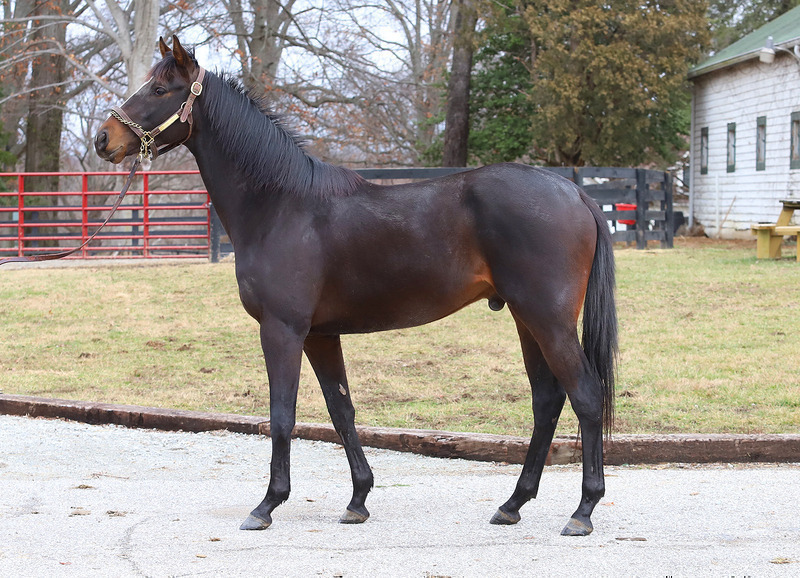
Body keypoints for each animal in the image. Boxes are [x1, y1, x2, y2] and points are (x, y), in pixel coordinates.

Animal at [94, 35, 618, 537]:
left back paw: (583, 511)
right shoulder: (321, 335)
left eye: (160, 89)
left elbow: (282, 414)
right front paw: (358, 499)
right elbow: (340, 409)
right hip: (527, 319)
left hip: (547, 319)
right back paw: (512, 505)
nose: (103, 138)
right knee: (547, 400)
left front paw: (267, 505)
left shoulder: (282, 330)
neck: (279, 205)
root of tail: (575, 192)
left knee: (586, 397)